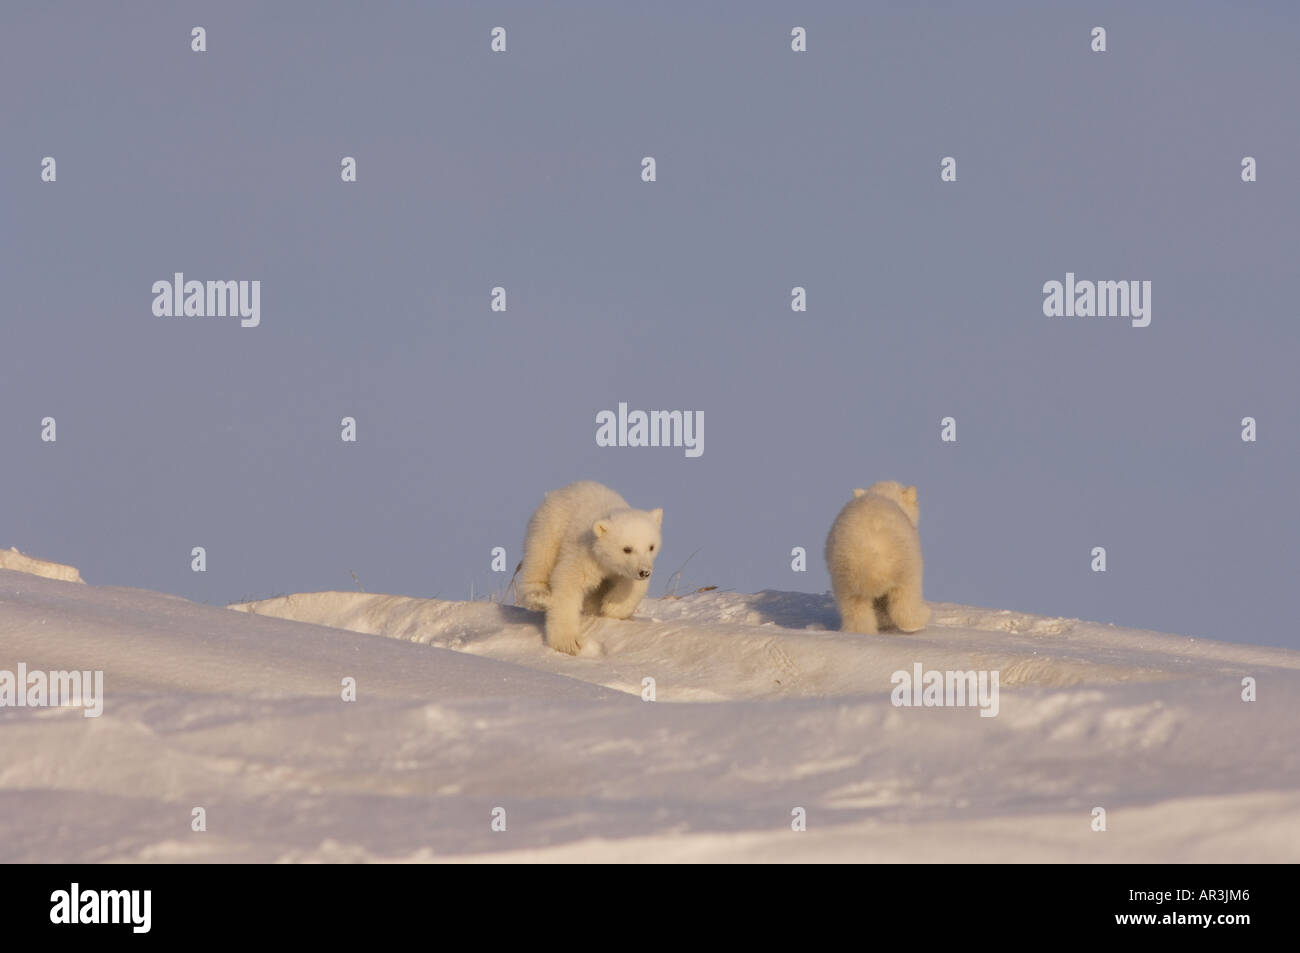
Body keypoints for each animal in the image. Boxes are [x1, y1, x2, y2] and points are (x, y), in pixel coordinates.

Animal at [517, 480, 663, 655]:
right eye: (627, 549)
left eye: (651, 547)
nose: (644, 572)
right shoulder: (586, 553)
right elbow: (568, 582)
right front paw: (568, 642)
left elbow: (632, 585)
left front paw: (612, 606)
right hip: (550, 525)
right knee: (540, 555)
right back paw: (539, 594)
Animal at [824, 481, 930, 635]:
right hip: (904, 561)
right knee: (905, 597)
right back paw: (919, 620)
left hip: (843, 575)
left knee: (854, 606)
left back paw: (862, 631)